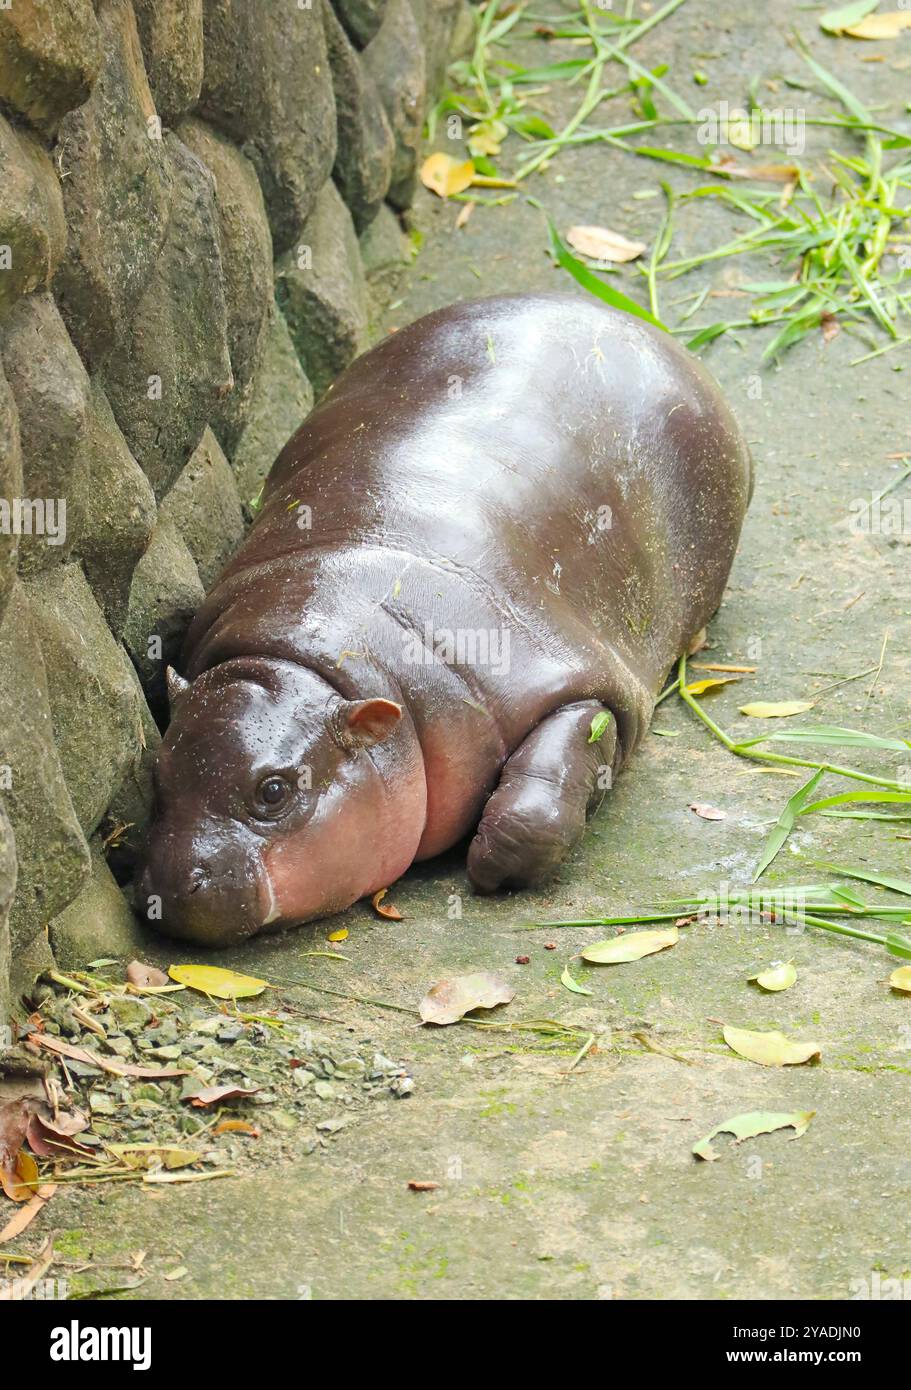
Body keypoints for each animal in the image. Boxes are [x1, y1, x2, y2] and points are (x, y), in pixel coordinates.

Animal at [139, 293, 752, 945]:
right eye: (159, 773)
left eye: (274, 791)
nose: (172, 884)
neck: (334, 671)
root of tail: (624, 315)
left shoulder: (576, 681)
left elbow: (539, 800)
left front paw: (487, 867)